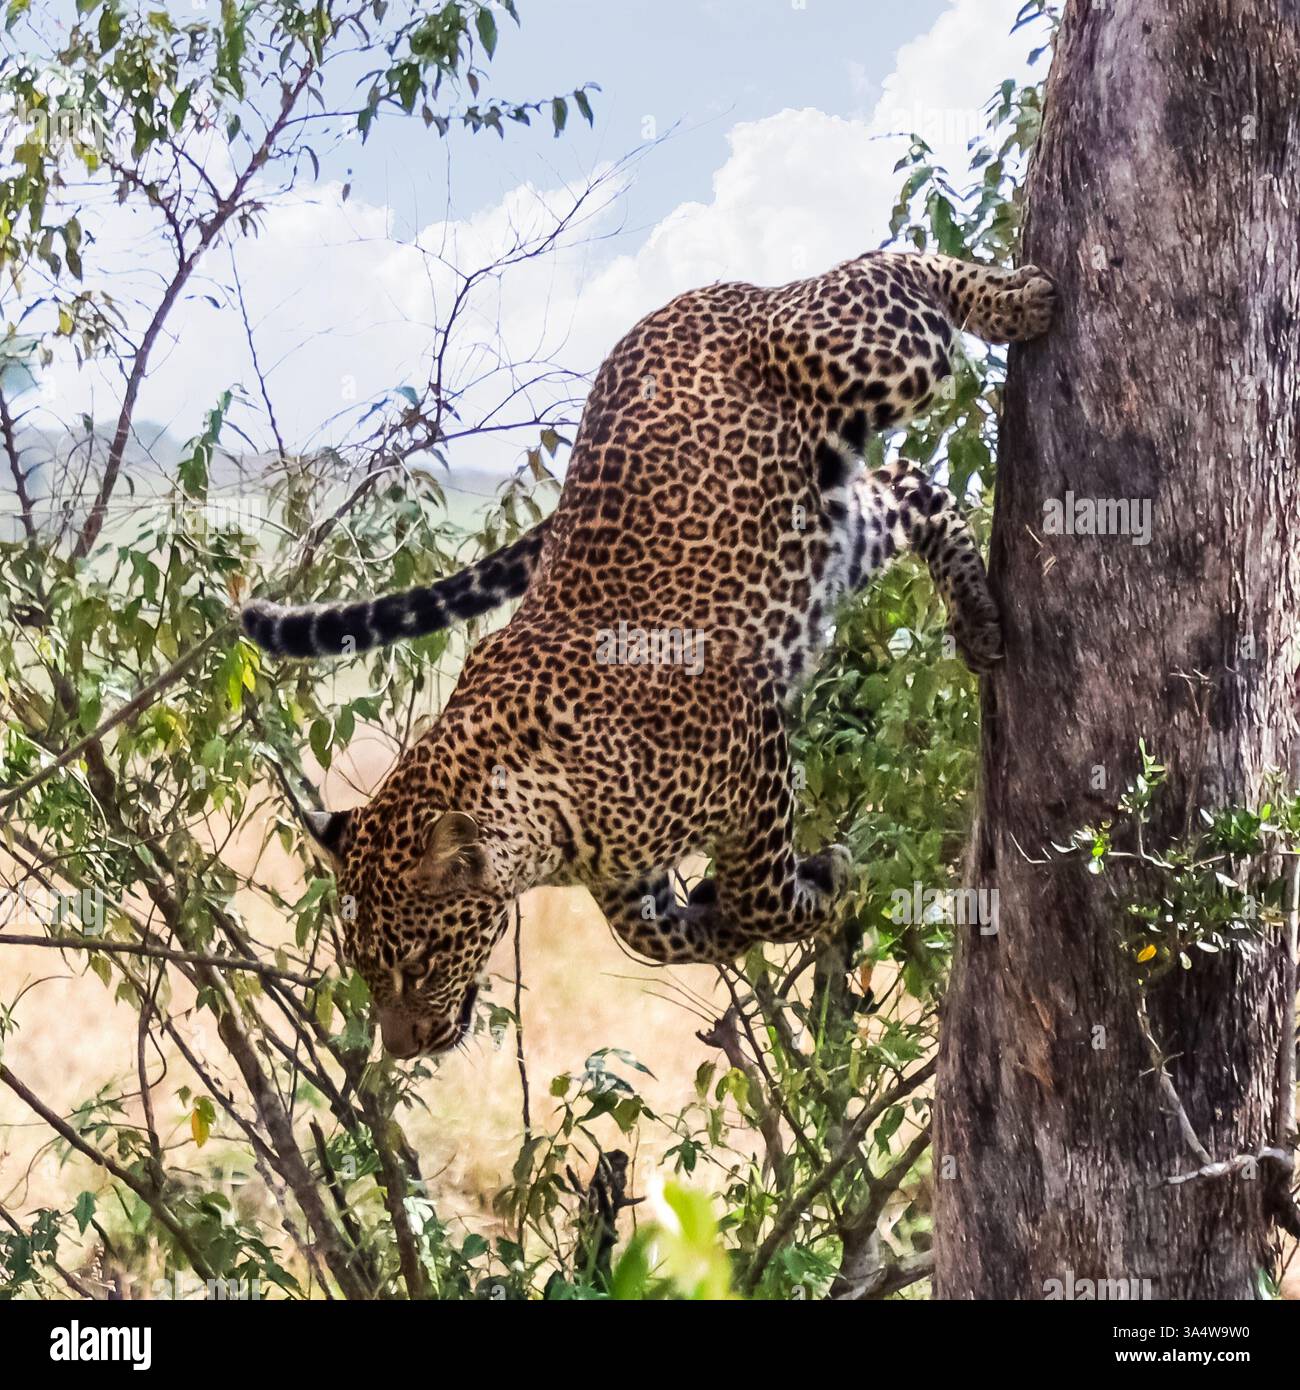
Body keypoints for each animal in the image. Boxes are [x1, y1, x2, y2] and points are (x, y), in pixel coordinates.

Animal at [241, 250, 1055, 1059]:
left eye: (418, 961)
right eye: (363, 968)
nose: (404, 1048)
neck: (542, 819)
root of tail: (687, 300)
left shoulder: (750, 732)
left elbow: (762, 894)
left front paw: (824, 881)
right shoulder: (628, 876)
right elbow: (652, 937)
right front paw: (723, 915)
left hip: (869, 353)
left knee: (895, 271)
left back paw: (1017, 300)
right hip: (833, 533)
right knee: (914, 486)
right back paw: (977, 614)